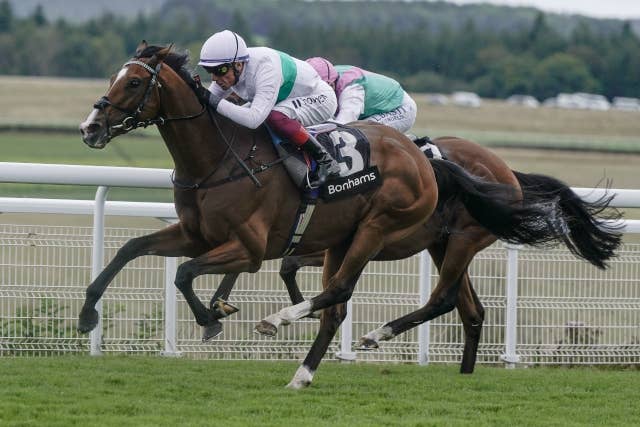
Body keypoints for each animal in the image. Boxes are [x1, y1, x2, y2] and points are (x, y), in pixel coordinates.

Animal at [78, 42, 562, 389]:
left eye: (134, 83)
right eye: (113, 77)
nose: (90, 128)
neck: (221, 159)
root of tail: (426, 162)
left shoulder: (249, 249)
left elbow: (185, 273)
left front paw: (212, 318)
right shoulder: (196, 234)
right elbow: (131, 249)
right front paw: (87, 316)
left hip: (392, 231)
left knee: (356, 294)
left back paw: (300, 325)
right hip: (399, 242)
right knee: (453, 308)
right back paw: (307, 372)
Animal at [210, 136, 622, 381]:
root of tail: (508, 172)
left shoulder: (333, 242)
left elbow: (289, 265)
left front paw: (286, 314)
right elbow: (271, 261)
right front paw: (220, 305)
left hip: (463, 241)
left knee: (444, 299)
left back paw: (378, 334)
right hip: (443, 244)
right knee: (471, 310)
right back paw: (464, 374)